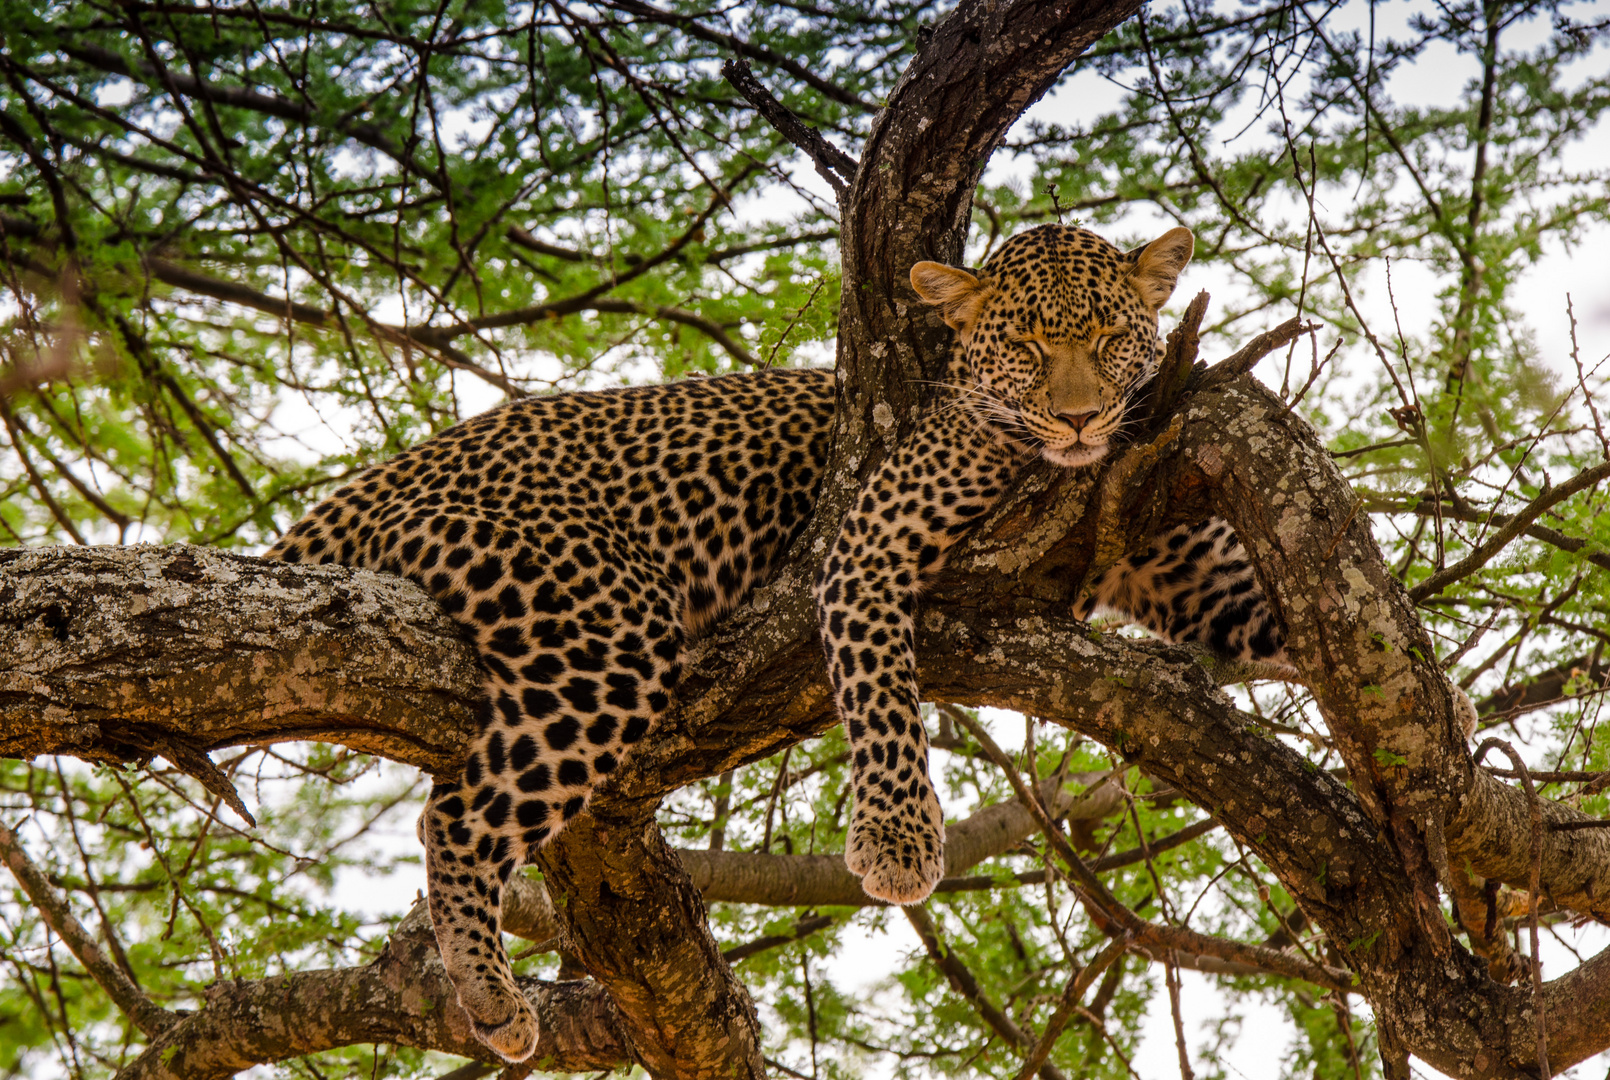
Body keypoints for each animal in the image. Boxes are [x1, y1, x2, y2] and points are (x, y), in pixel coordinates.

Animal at [265, 222, 1319, 1063]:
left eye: (1108, 338)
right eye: (1025, 343)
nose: (1079, 416)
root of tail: (361, 487)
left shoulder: (1208, 582)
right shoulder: (865, 545)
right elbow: (885, 695)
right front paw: (897, 842)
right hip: (606, 629)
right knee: (454, 816)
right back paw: (490, 994)